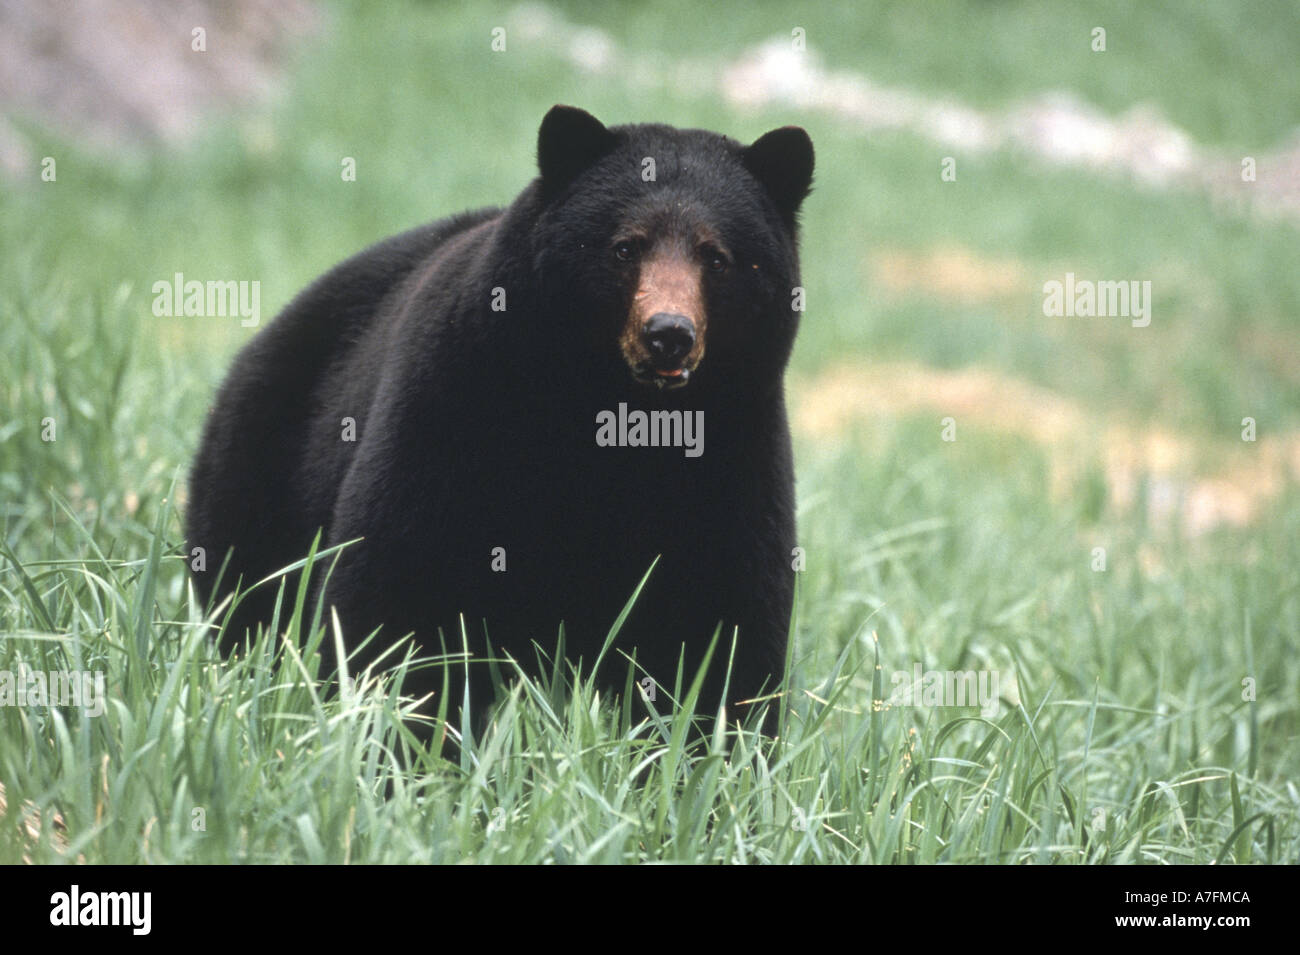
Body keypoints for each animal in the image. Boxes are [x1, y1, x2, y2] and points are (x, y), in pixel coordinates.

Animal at [186, 105, 814, 734]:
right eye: (624, 248)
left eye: (716, 257)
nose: (668, 334)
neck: (616, 419)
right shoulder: (460, 403)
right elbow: (397, 585)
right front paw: (394, 730)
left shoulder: (733, 448)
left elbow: (723, 624)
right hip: (264, 465)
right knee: (246, 588)